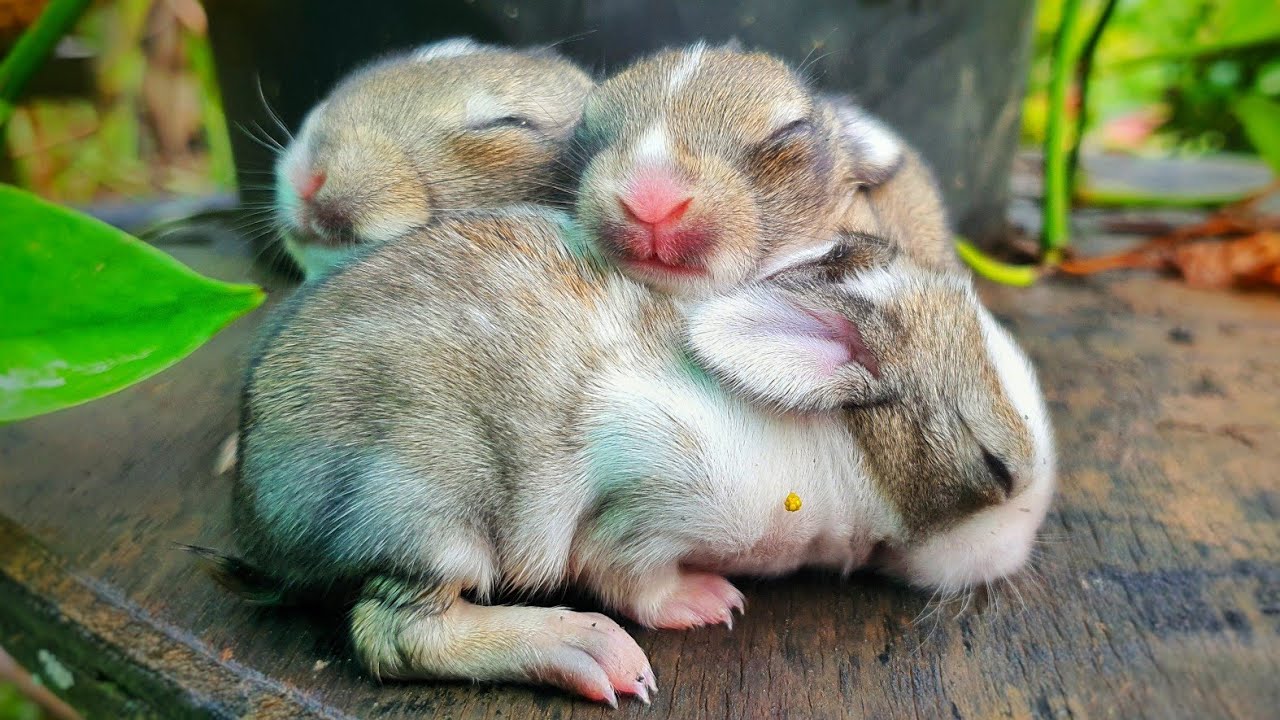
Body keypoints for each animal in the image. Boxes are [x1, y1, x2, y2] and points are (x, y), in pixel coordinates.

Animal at [200, 204, 1054, 705]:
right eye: (995, 465)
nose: (1017, 555)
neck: (838, 450)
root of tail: (253, 515)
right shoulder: (643, 499)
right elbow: (632, 576)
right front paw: (703, 602)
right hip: (427, 512)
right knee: (395, 633)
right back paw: (585, 649)